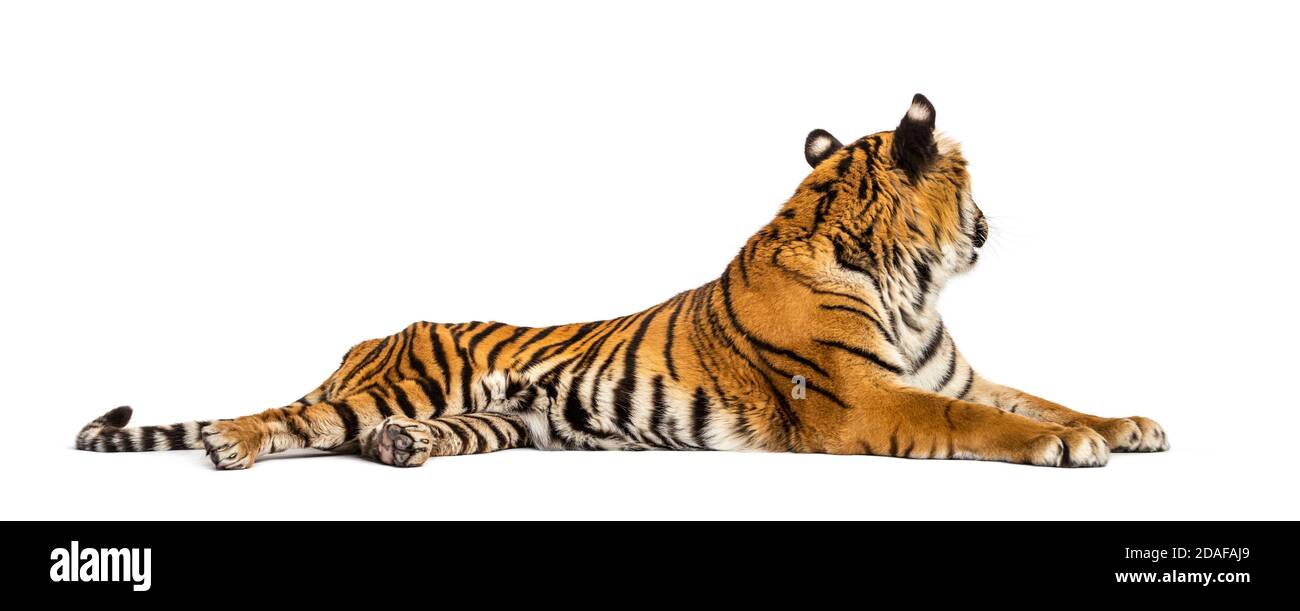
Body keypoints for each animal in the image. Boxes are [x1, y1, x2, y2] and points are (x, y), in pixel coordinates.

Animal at [76, 94, 1168, 469]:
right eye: (973, 178)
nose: (987, 221)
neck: (911, 283)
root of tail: (368, 340)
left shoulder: (950, 372)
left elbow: (1040, 394)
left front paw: (1125, 424)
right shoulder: (864, 397)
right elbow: (984, 421)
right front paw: (1069, 445)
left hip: (498, 418)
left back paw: (401, 450)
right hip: (394, 381)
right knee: (292, 418)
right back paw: (232, 439)